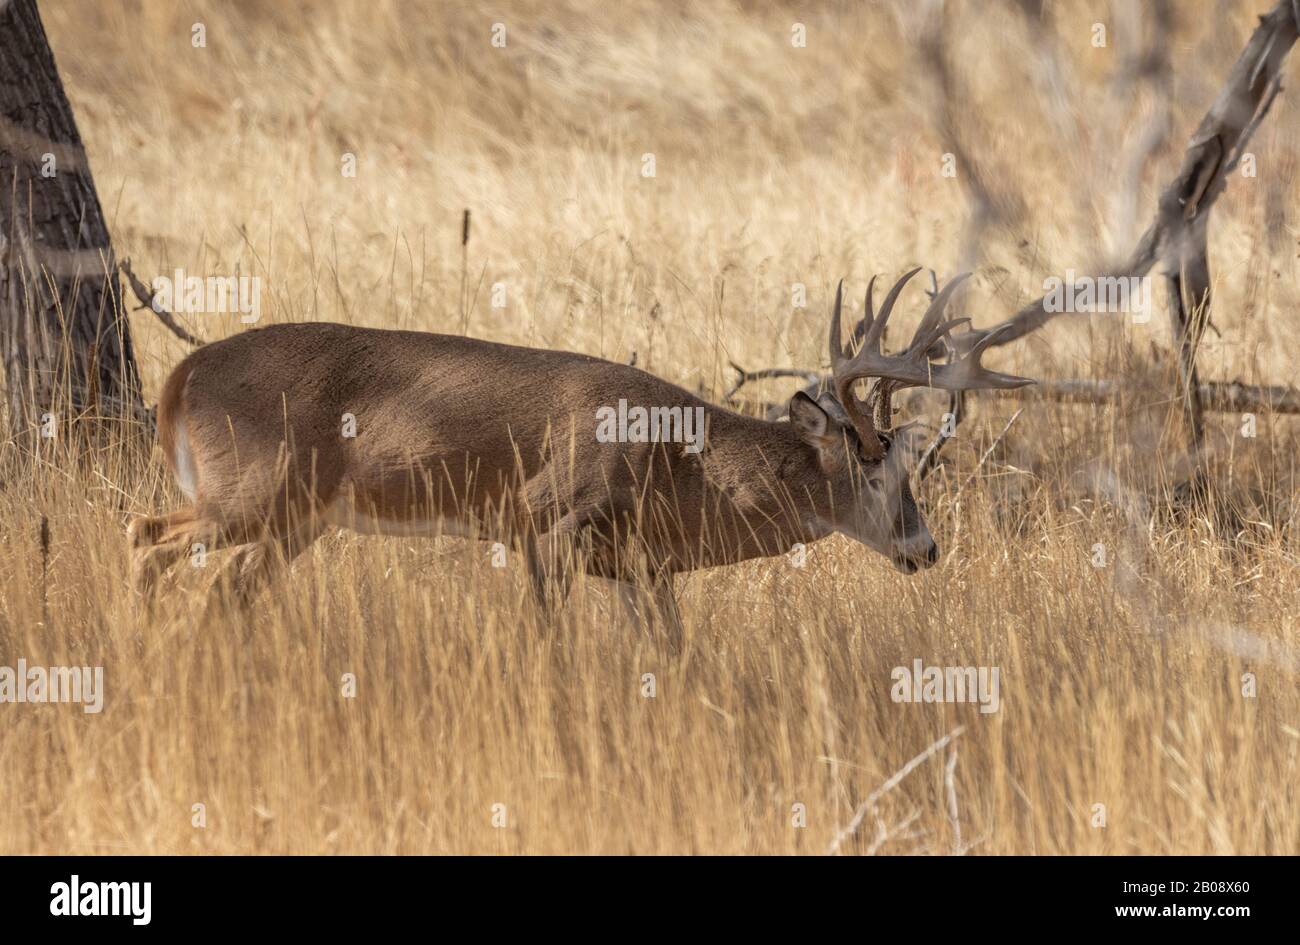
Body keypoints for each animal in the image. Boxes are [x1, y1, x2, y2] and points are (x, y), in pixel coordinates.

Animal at [128, 267, 1032, 638]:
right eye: (877, 465)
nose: (926, 547)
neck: (681, 465)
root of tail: (178, 378)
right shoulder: (545, 518)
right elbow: (551, 643)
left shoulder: (640, 565)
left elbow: (671, 649)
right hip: (255, 489)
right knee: (146, 538)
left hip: (296, 518)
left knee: (220, 587)